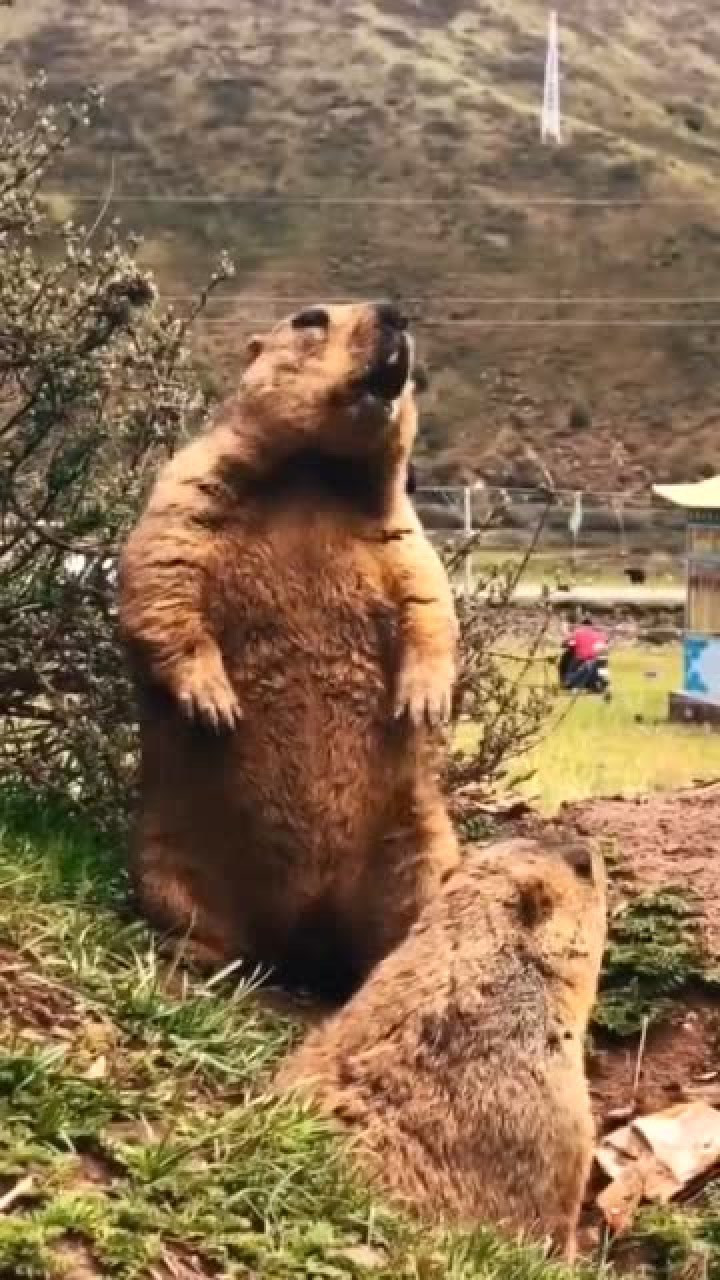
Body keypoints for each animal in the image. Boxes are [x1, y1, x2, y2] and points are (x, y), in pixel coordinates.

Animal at [118, 300, 460, 1001]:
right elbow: (160, 574)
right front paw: (215, 702)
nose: (395, 311)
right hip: (165, 858)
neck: (313, 477)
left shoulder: (407, 533)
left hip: (428, 850)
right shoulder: (183, 487)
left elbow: (430, 600)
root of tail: (299, 942)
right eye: (310, 318)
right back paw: (188, 960)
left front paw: (423, 701)